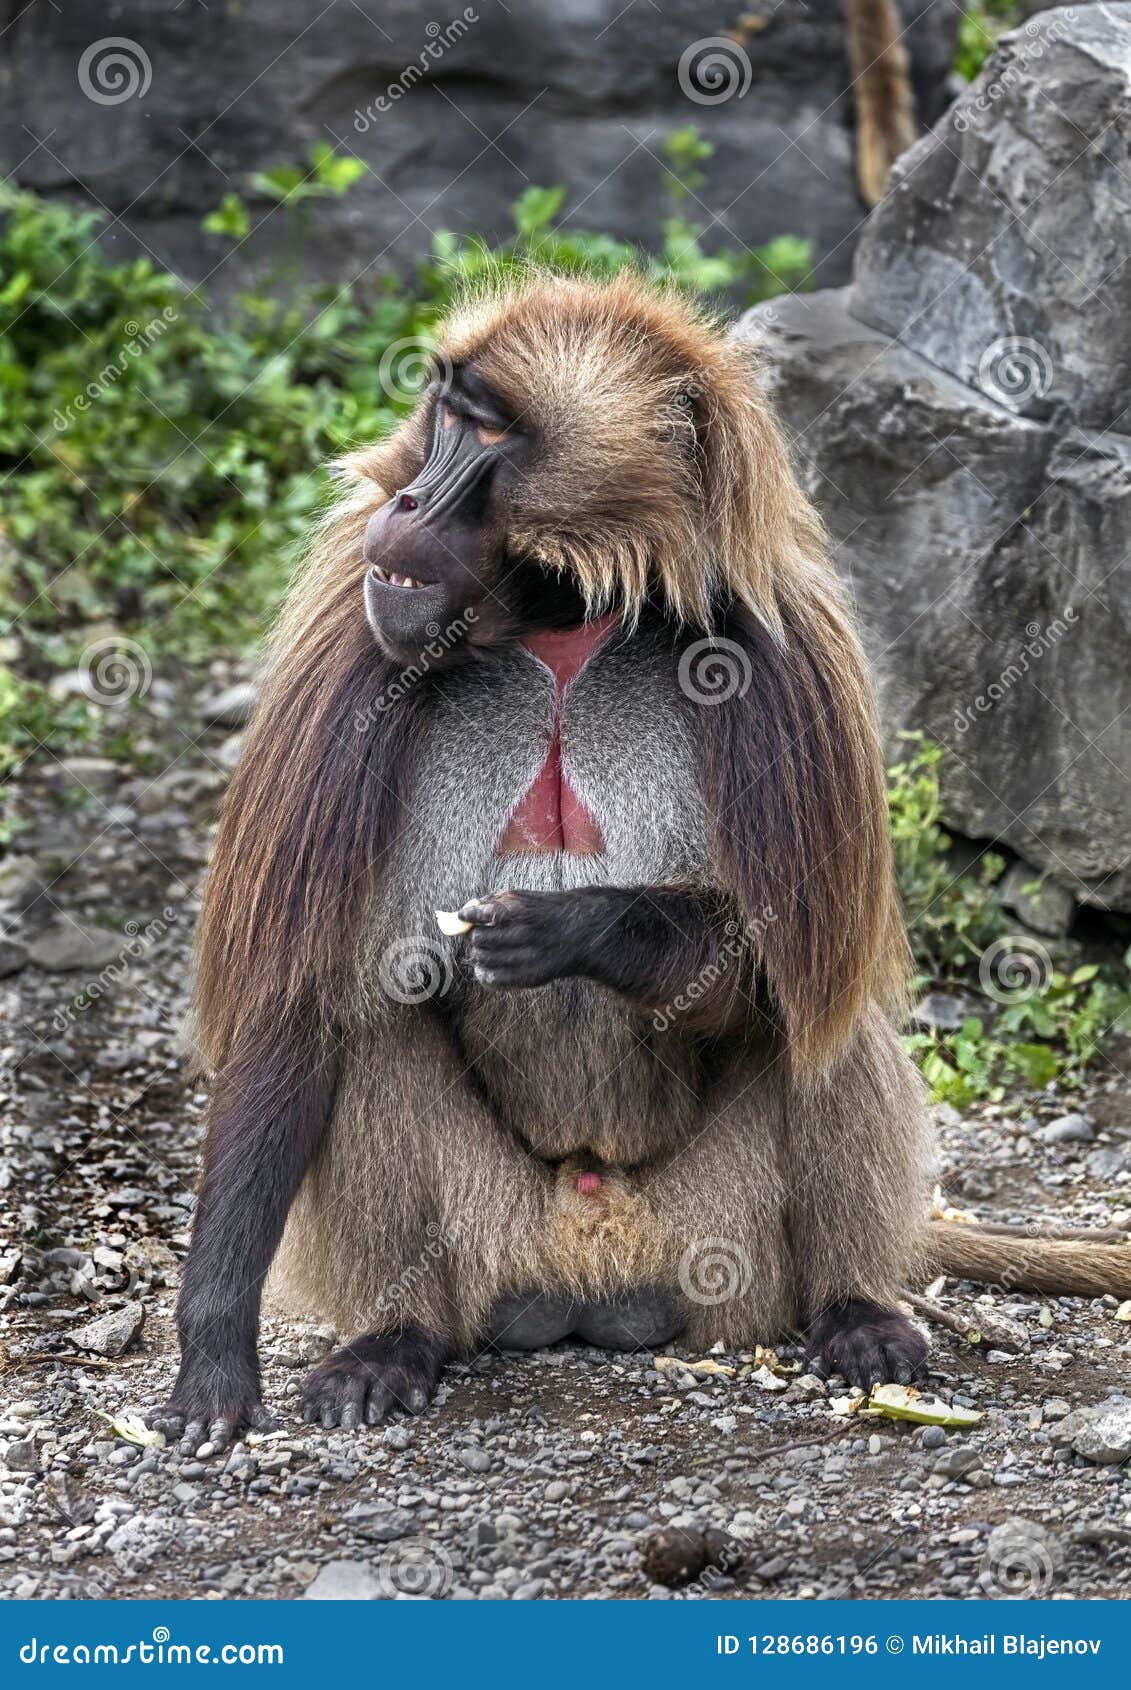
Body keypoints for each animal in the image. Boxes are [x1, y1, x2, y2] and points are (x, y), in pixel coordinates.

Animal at [153, 273, 1131, 1454]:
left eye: (489, 432)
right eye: (444, 413)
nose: (411, 503)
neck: (561, 618)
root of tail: (590, 1255)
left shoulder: (782, 651)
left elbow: (782, 960)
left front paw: (596, 930)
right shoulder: (352, 640)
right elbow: (295, 999)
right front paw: (213, 1353)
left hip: (729, 1249)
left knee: (825, 1011)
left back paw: (854, 1313)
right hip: (493, 1240)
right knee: (372, 1026)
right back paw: (394, 1340)